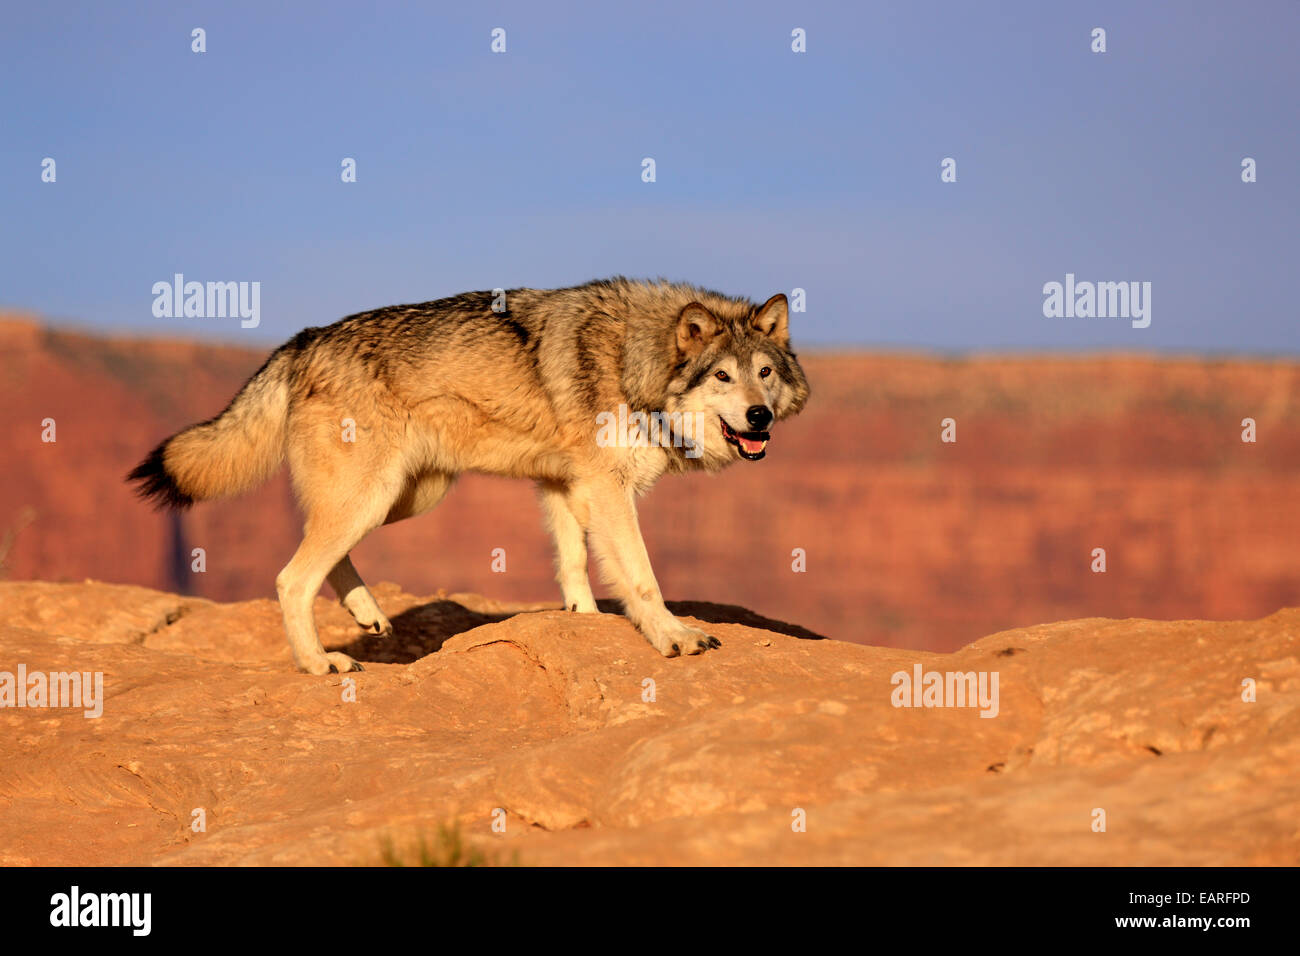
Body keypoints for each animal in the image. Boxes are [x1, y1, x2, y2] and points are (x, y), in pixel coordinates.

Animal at [128, 278, 810, 674]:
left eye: (765, 374)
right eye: (722, 376)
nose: (759, 416)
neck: (634, 358)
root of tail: (306, 337)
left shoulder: (565, 487)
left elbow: (574, 565)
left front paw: (584, 622)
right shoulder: (607, 489)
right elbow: (641, 577)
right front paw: (674, 637)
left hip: (402, 497)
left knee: (317, 553)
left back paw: (367, 615)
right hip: (375, 496)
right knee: (292, 577)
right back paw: (320, 665)